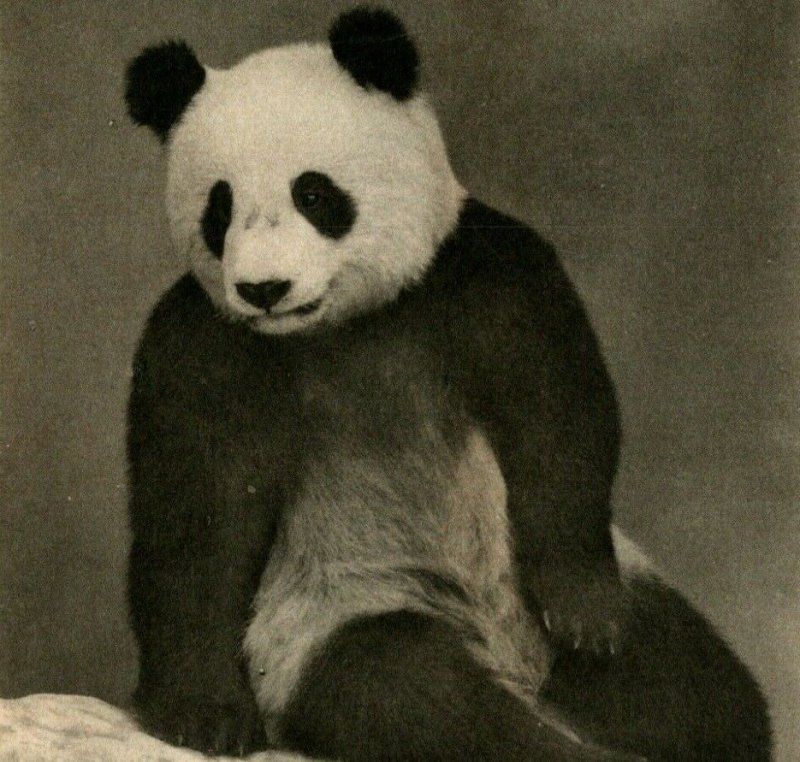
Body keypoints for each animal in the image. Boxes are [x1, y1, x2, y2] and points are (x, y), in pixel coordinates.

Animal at [123, 7, 772, 762]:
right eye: (219, 210)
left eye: (313, 194)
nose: (264, 289)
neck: (347, 321)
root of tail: (516, 668)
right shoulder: (203, 349)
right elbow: (195, 519)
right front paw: (204, 713)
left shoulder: (476, 274)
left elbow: (557, 415)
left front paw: (585, 614)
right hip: (332, 612)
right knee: (408, 692)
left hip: (610, 584)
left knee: (691, 686)